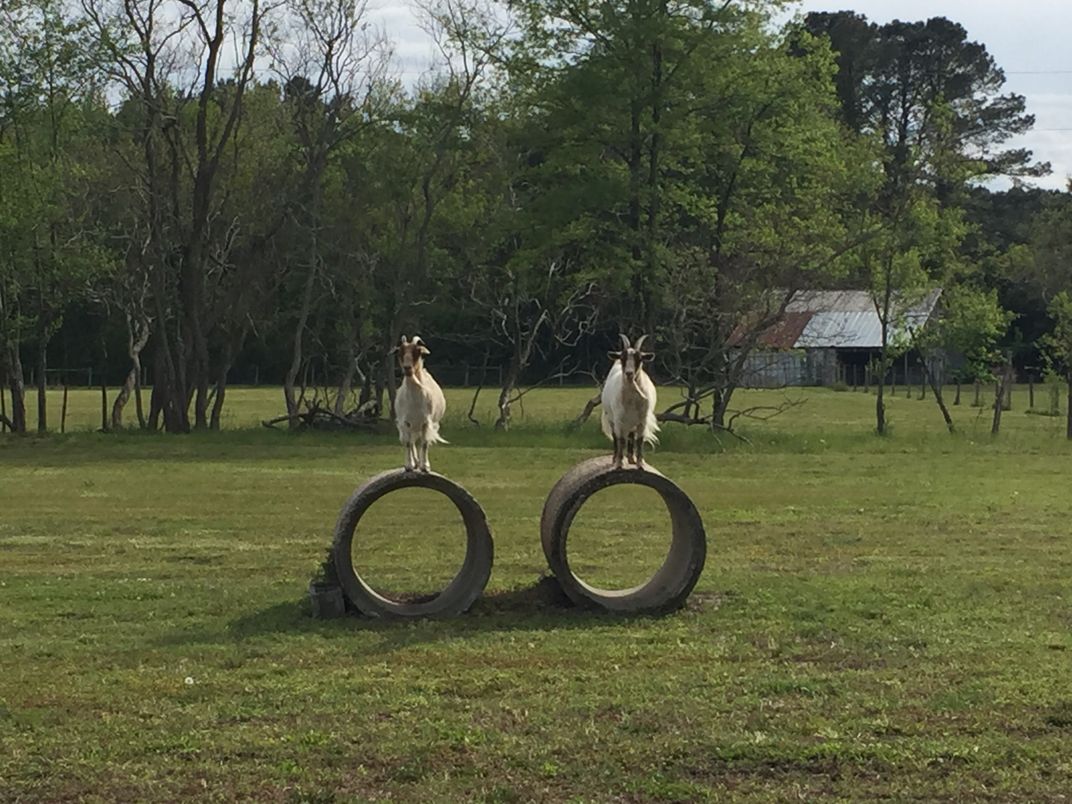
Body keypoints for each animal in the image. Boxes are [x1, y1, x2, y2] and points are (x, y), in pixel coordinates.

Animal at [393, 335, 447, 472]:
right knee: (412, 442)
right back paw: (415, 463)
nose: (407, 368)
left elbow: (424, 444)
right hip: (411, 426)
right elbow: (408, 443)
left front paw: (425, 466)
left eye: (418, 352)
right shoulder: (405, 422)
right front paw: (409, 466)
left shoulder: (427, 422)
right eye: (400, 352)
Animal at [601, 334, 659, 469]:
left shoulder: (643, 420)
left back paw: (631, 459)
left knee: (631, 436)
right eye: (623, 358)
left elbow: (640, 440)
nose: (629, 374)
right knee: (616, 438)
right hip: (611, 418)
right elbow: (620, 440)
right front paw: (619, 463)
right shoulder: (619, 419)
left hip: (632, 421)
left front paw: (640, 464)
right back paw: (615, 458)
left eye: (640, 358)